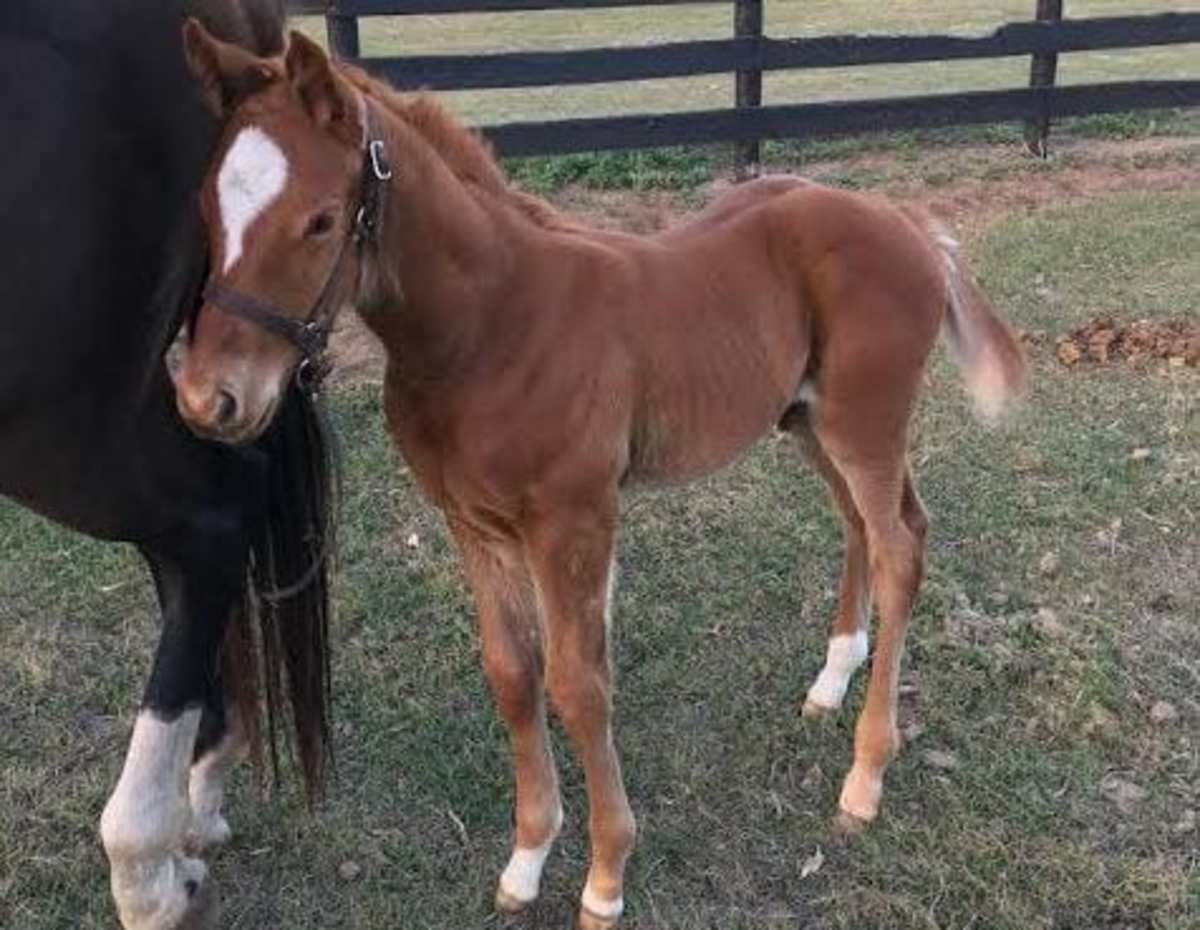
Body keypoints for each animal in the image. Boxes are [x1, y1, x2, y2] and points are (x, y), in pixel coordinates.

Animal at [173, 25, 1027, 929]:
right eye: (205, 211)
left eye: (321, 221)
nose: (209, 398)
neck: (490, 329)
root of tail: (904, 218)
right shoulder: (471, 524)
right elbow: (513, 675)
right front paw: (526, 859)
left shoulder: (573, 520)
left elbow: (579, 685)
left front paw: (606, 874)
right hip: (809, 422)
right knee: (867, 523)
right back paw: (832, 680)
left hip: (864, 424)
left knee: (901, 546)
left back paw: (864, 777)